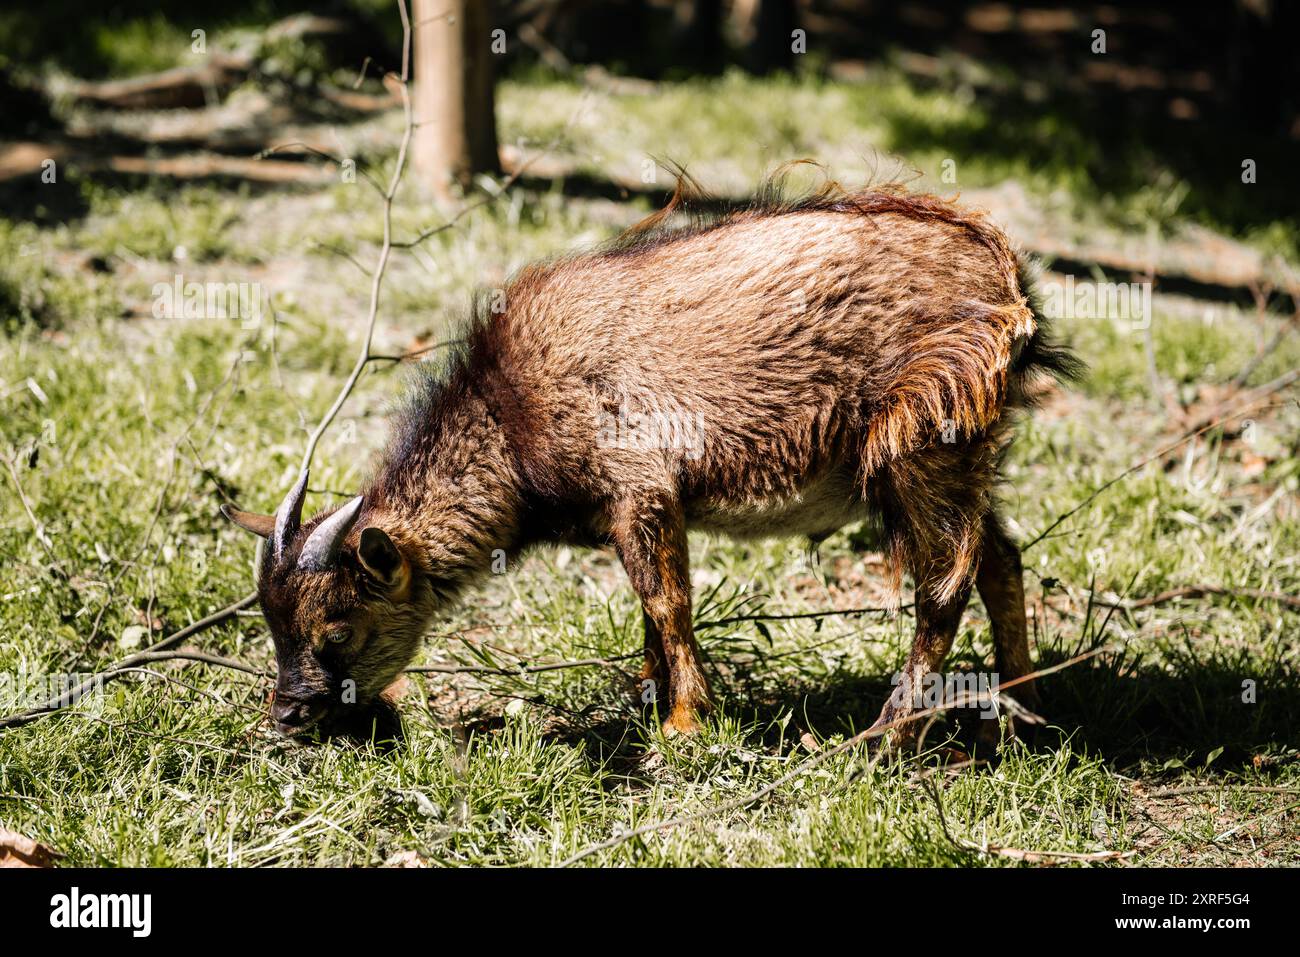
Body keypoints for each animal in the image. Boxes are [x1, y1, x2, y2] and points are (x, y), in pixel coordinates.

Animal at [222, 178, 1080, 742]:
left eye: (338, 627)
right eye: (271, 623)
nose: (287, 717)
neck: (514, 410)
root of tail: (1007, 276)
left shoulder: (640, 484)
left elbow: (668, 603)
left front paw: (684, 725)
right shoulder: (634, 509)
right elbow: (646, 608)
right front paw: (649, 696)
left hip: (919, 432)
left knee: (946, 581)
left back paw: (889, 735)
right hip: (960, 449)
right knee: (1001, 556)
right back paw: (1022, 708)